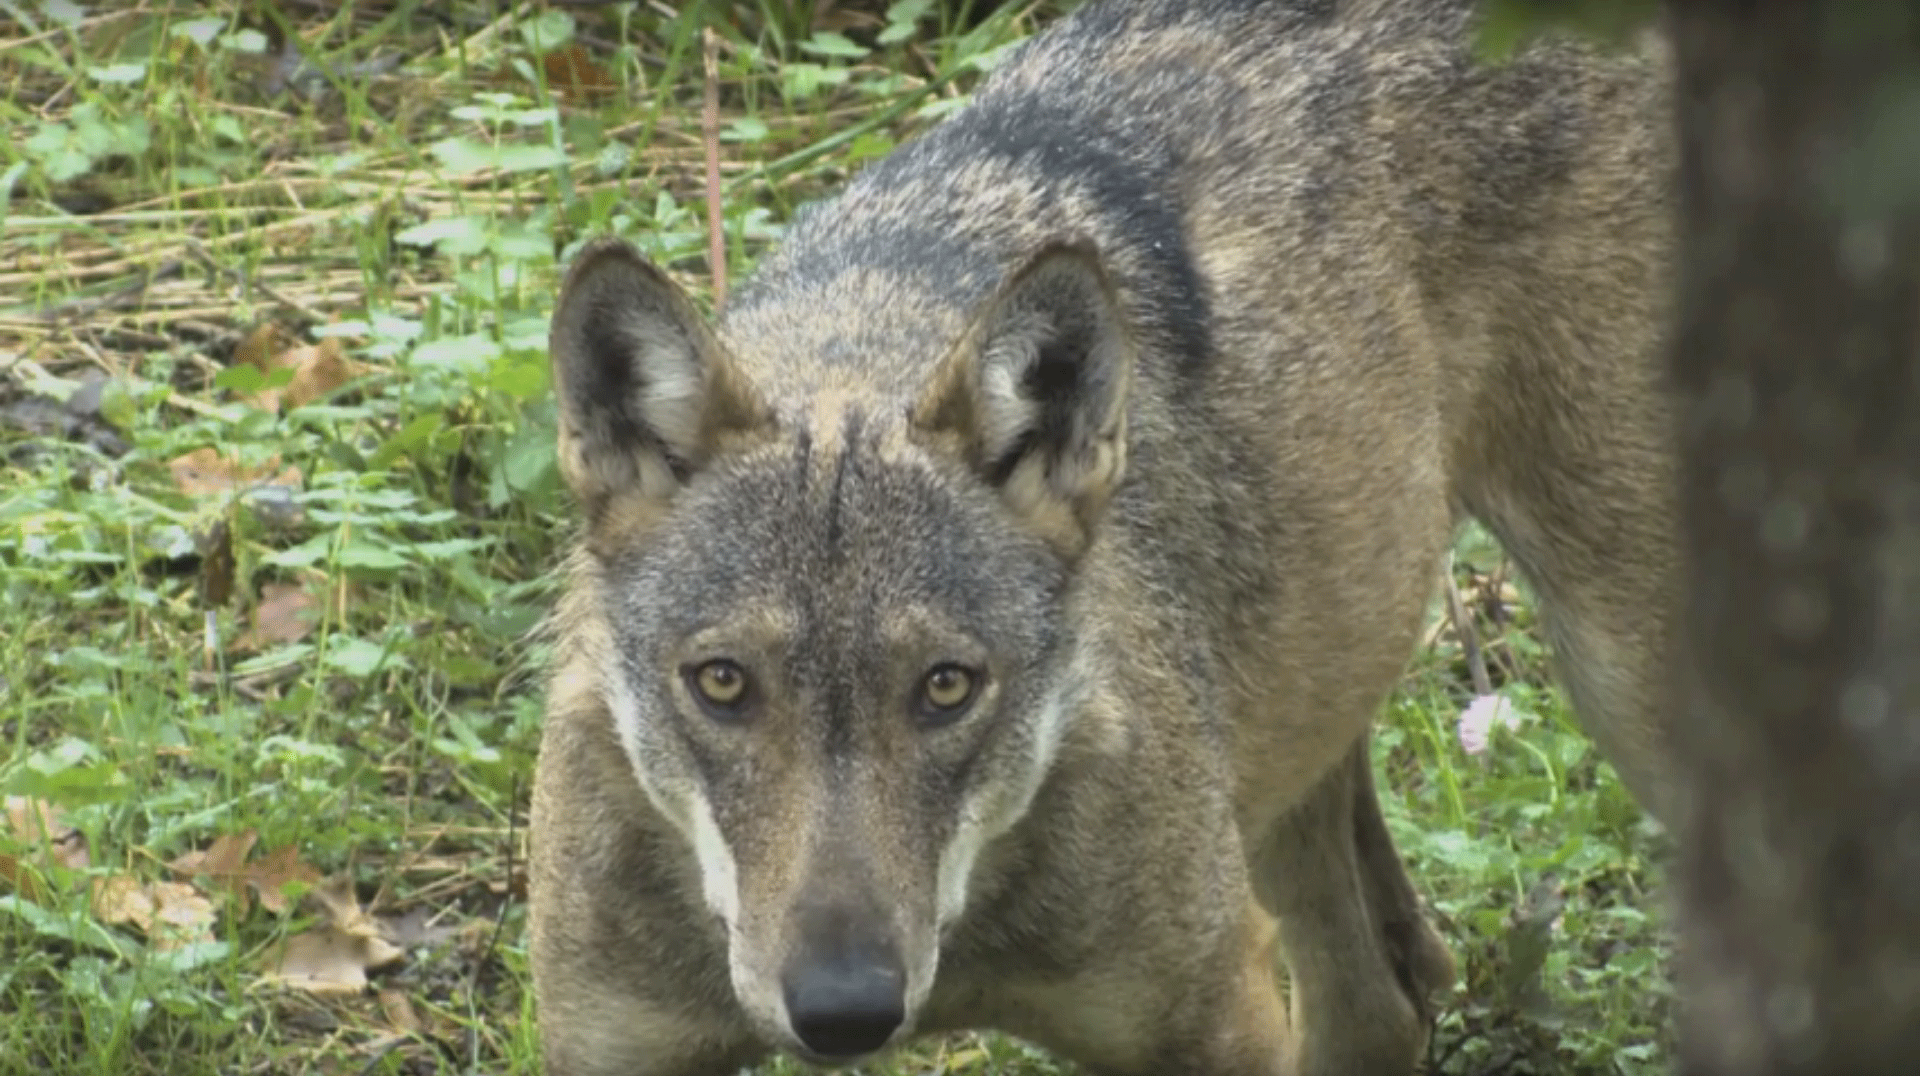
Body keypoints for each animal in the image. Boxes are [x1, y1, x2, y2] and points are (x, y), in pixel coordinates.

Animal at [527, 0, 1680, 1073]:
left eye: (947, 686)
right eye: (721, 682)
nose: (847, 1008)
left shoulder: (1215, 1018)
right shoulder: (616, 1040)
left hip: (1621, 685)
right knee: (1389, 986)